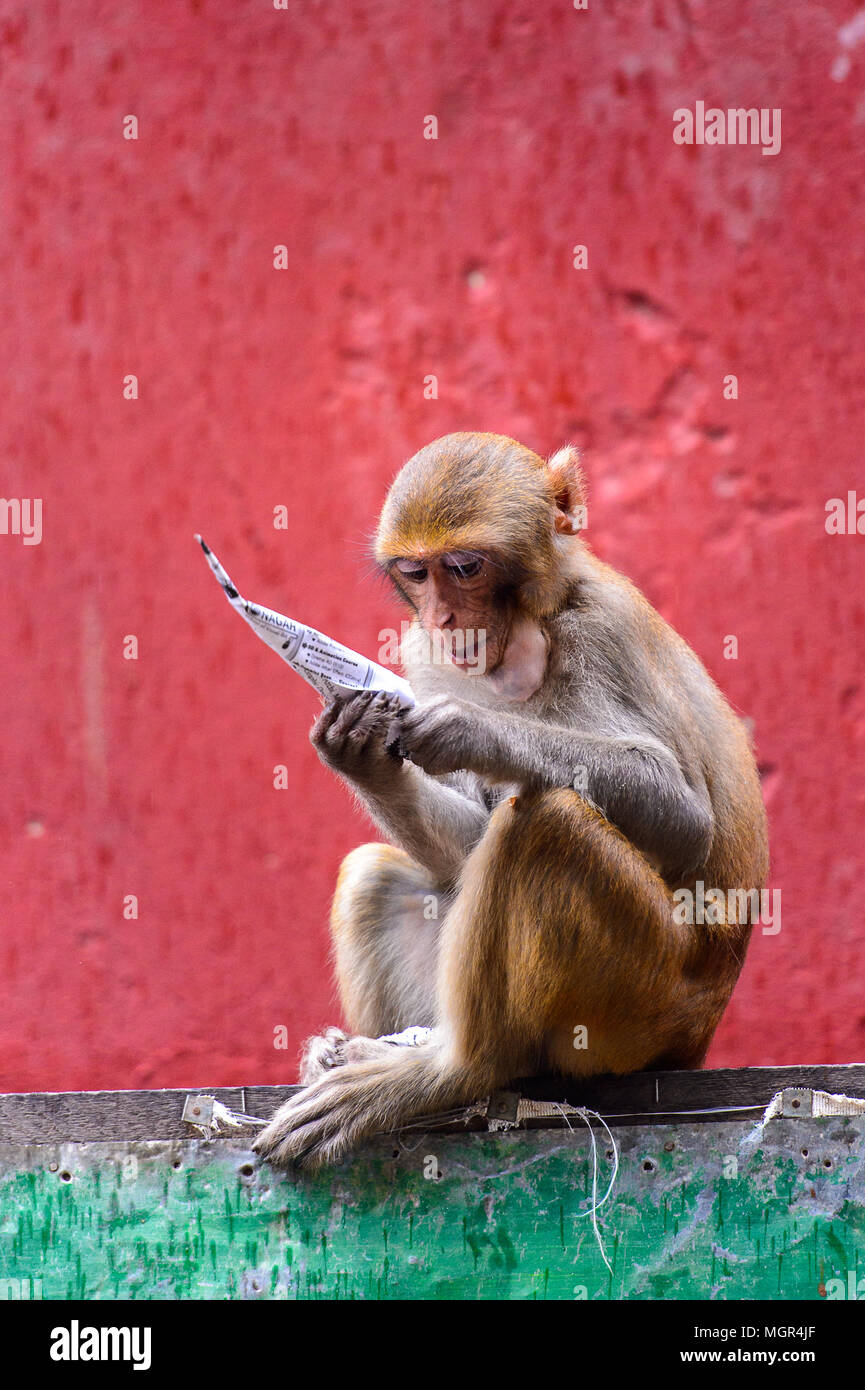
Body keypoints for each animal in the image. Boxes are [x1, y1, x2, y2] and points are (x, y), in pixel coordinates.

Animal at [253, 432, 769, 1169]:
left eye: (464, 567)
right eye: (415, 572)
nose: (443, 617)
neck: (529, 627)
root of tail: (698, 1034)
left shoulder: (601, 630)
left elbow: (685, 817)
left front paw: (470, 730)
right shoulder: (425, 652)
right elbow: (466, 847)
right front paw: (359, 747)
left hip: (644, 1009)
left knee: (549, 824)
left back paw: (449, 1070)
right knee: (377, 875)